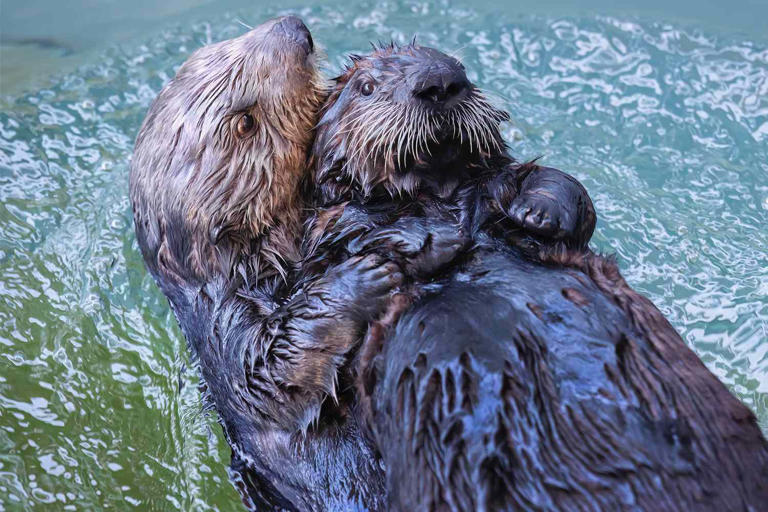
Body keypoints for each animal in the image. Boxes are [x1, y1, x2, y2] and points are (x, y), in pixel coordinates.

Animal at [304, 43, 768, 510]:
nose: (439, 80)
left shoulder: (504, 185)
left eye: (459, 65)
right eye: (365, 87)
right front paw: (424, 239)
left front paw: (537, 211)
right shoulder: (333, 234)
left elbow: (561, 186)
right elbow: (350, 245)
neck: (438, 198)